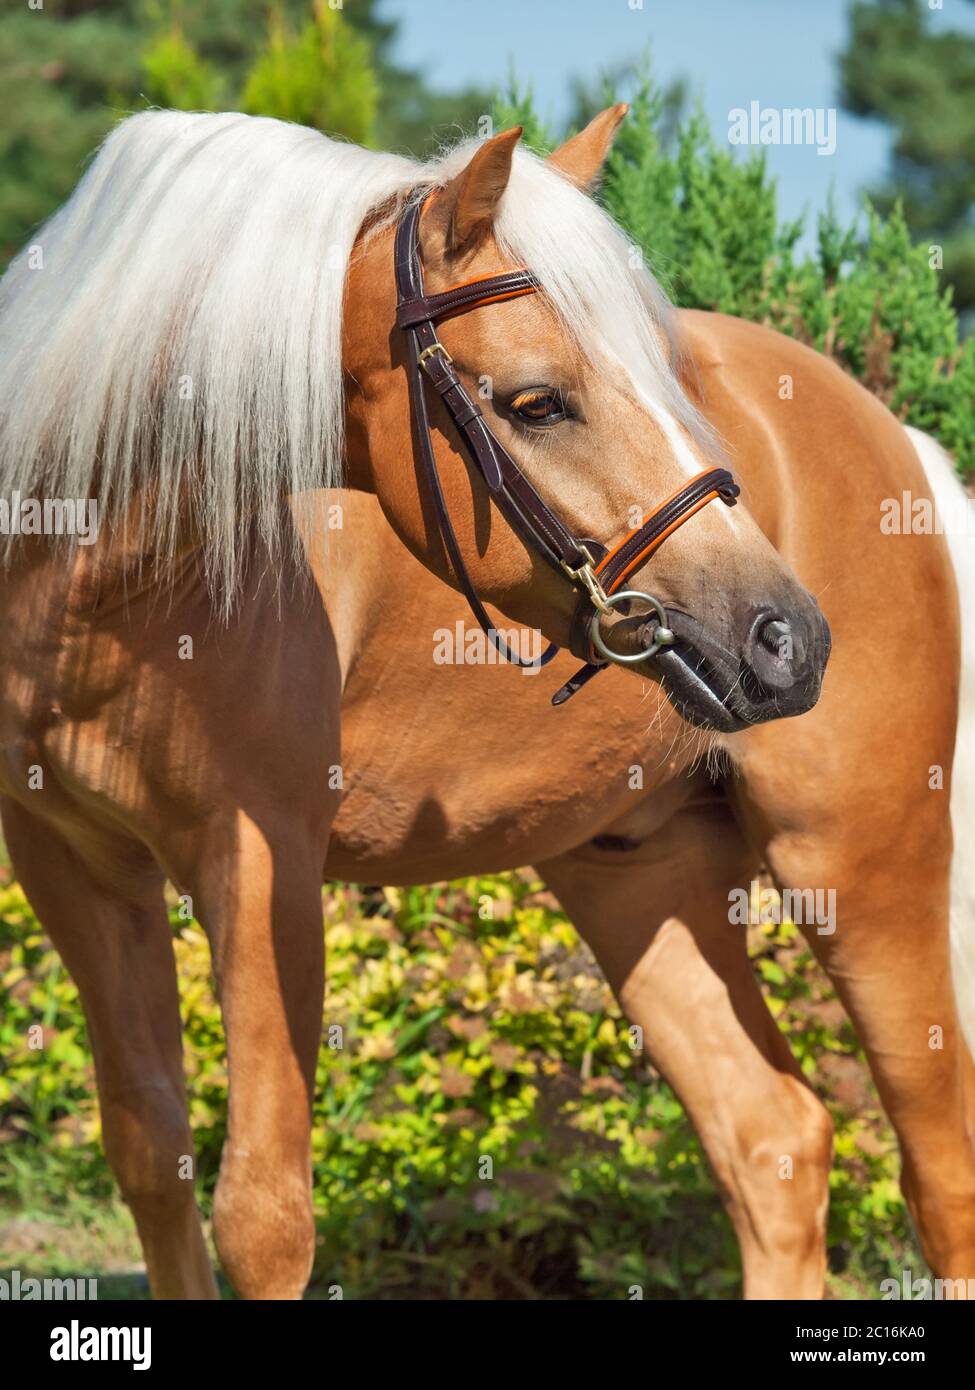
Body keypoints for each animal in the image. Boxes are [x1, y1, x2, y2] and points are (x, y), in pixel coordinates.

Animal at [0, 103, 971, 1300]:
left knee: (940, 1174)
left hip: (860, 866)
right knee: (774, 1139)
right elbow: (152, 1164)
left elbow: (264, 1219)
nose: (787, 638)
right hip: (641, 870)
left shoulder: (264, 863)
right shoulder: (73, 864)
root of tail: (890, 434)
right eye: (534, 401)